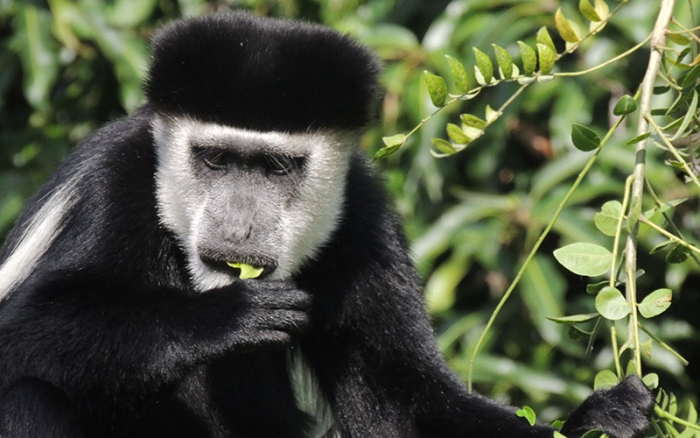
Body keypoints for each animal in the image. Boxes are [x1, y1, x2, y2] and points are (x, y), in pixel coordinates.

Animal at [0, 12, 653, 438]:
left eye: (279, 167)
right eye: (214, 159)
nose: (239, 229)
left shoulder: (362, 222)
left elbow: (406, 400)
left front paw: (603, 420)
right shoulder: (115, 186)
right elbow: (18, 334)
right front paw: (225, 318)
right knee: (27, 394)